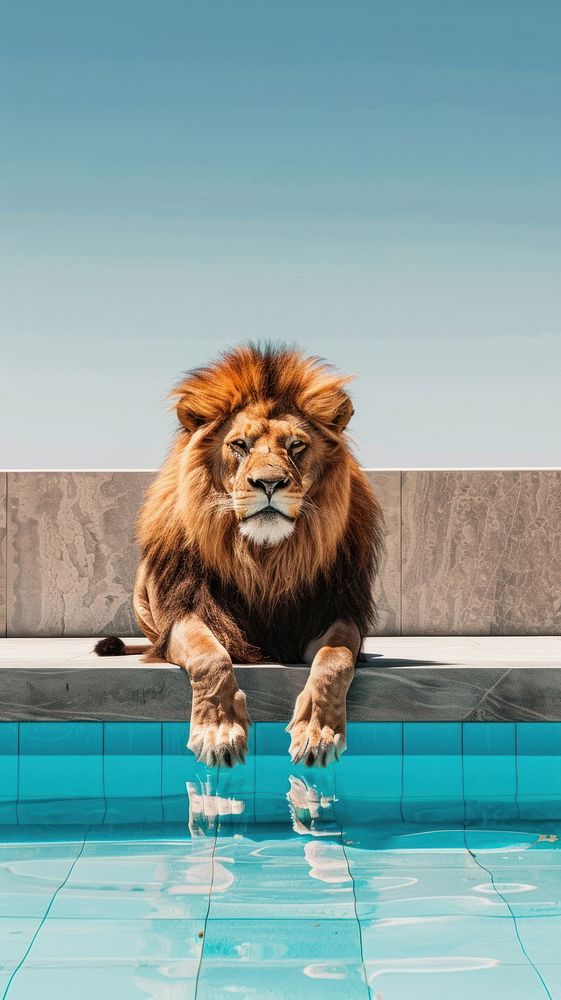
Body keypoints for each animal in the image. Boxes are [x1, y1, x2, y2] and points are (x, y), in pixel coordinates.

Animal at [96, 343, 384, 768]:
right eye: (239, 445)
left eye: (295, 445)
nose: (269, 482)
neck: (263, 559)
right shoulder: (185, 614)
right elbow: (210, 657)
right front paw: (218, 732)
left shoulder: (334, 613)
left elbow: (335, 660)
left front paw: (318, 733)